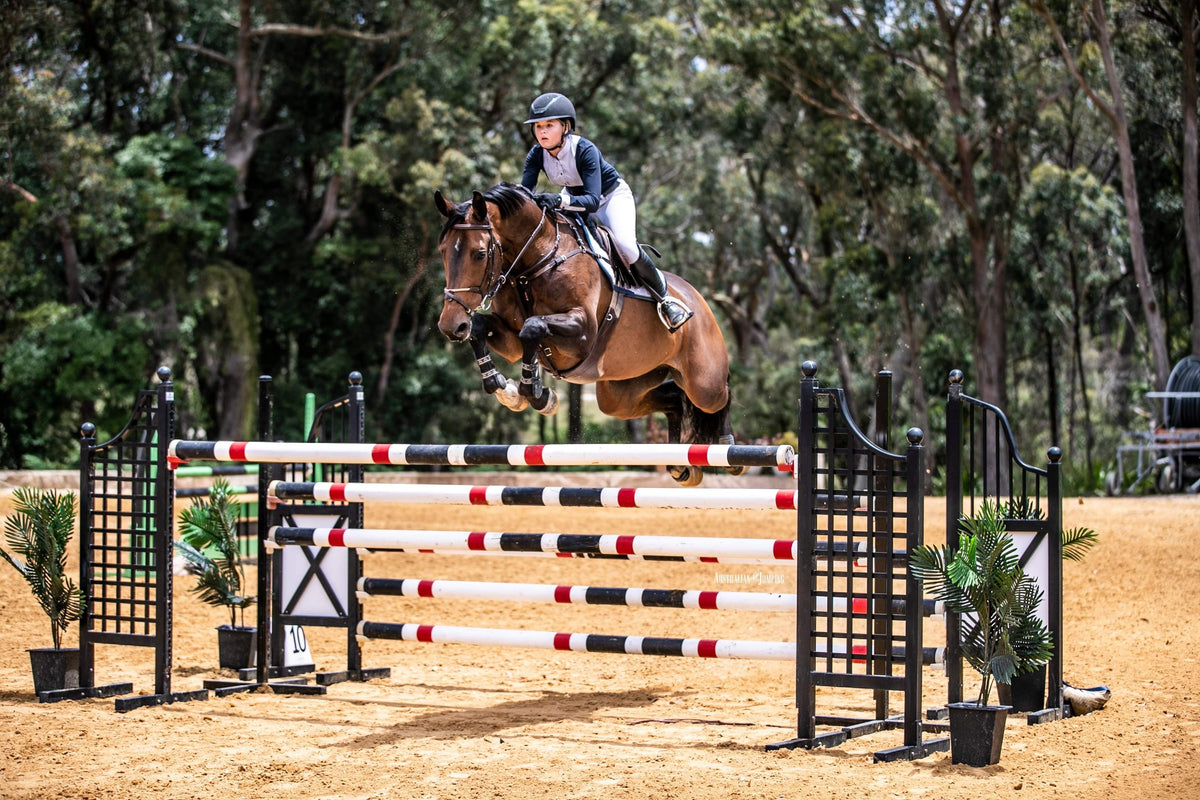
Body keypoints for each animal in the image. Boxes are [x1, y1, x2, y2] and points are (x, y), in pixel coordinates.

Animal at [433, 182, 741, 486]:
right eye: (443, 251)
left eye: (479, 253)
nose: (451, 326)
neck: (535, 260)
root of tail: (698, 299)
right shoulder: (510, 341)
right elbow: (483, 329)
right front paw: (505, 388)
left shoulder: (583, 333)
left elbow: (533, 327)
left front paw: (534, 393)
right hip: (622, 392)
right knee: (674, 400)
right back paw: (680, 466)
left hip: (703, 384)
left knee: (720, 394)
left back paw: (729, 449)